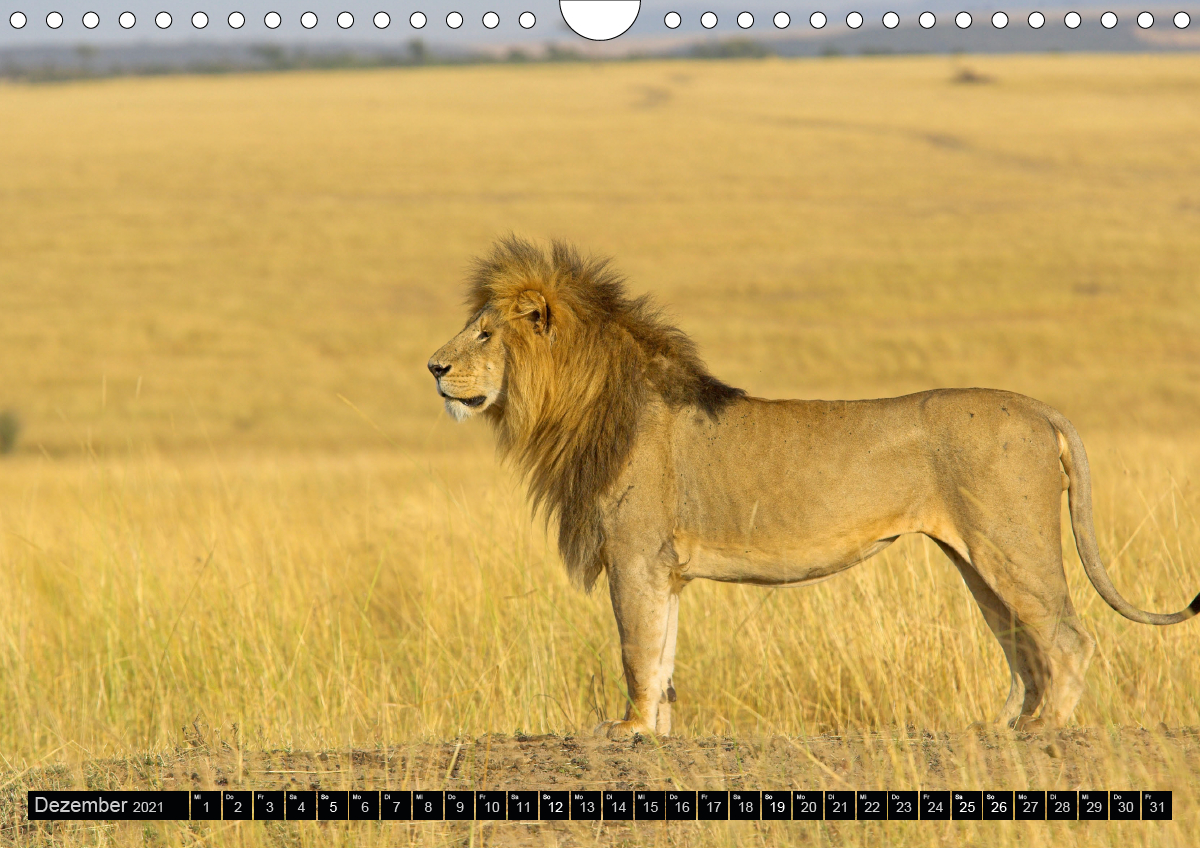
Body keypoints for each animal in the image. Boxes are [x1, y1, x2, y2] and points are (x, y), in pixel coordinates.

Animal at [427, 236, 1200, 738]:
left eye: (485, 335)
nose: (433, 367)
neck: (584, 403)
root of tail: (1043, 409)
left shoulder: (635, 554)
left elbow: (635, 649)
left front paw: (629, 730)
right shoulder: (662, 569)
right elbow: (665, 654)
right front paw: (660, 732)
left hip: (1011, 542)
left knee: (1068, 637)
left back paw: (1048, 733)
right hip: (977, 559)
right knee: (1024, 647)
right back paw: (1014, 725)